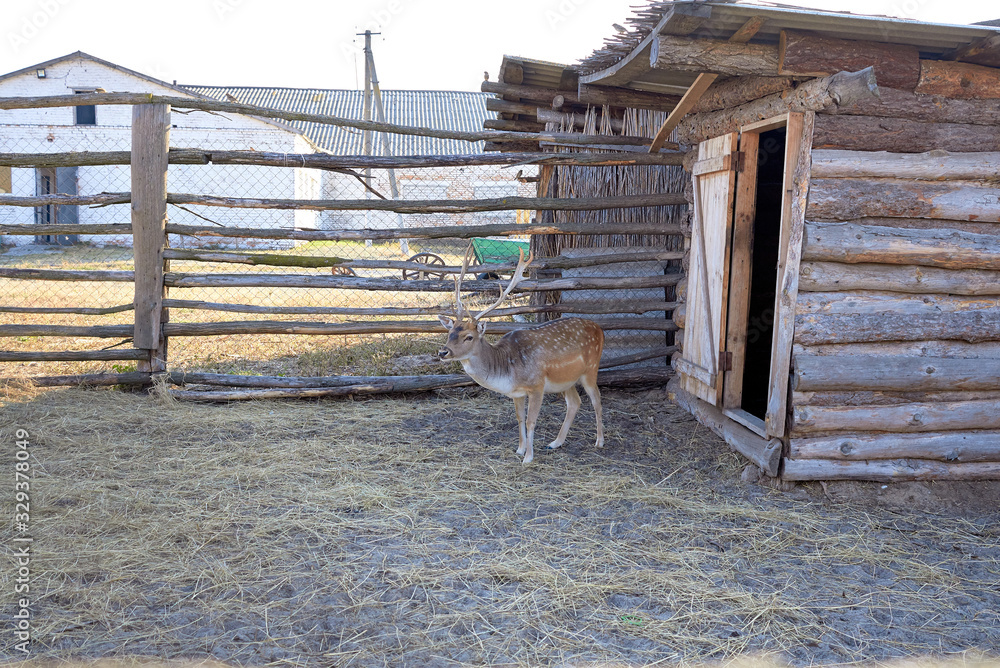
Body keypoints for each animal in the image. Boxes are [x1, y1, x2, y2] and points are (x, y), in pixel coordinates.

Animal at [438, 246, 604, 464]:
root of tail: (600, 329)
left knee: (596, 399)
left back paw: (599, 441)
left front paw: (528, 457)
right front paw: (520, 449)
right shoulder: (517, 393)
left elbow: (531, 421)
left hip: (591, 369)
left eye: (469, 337)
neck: (507, 371)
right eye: (450, 333)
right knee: (574, 402)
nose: (443, 352)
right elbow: (519, 418)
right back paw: (555, 443)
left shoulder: (536, 386)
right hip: (566, 380)